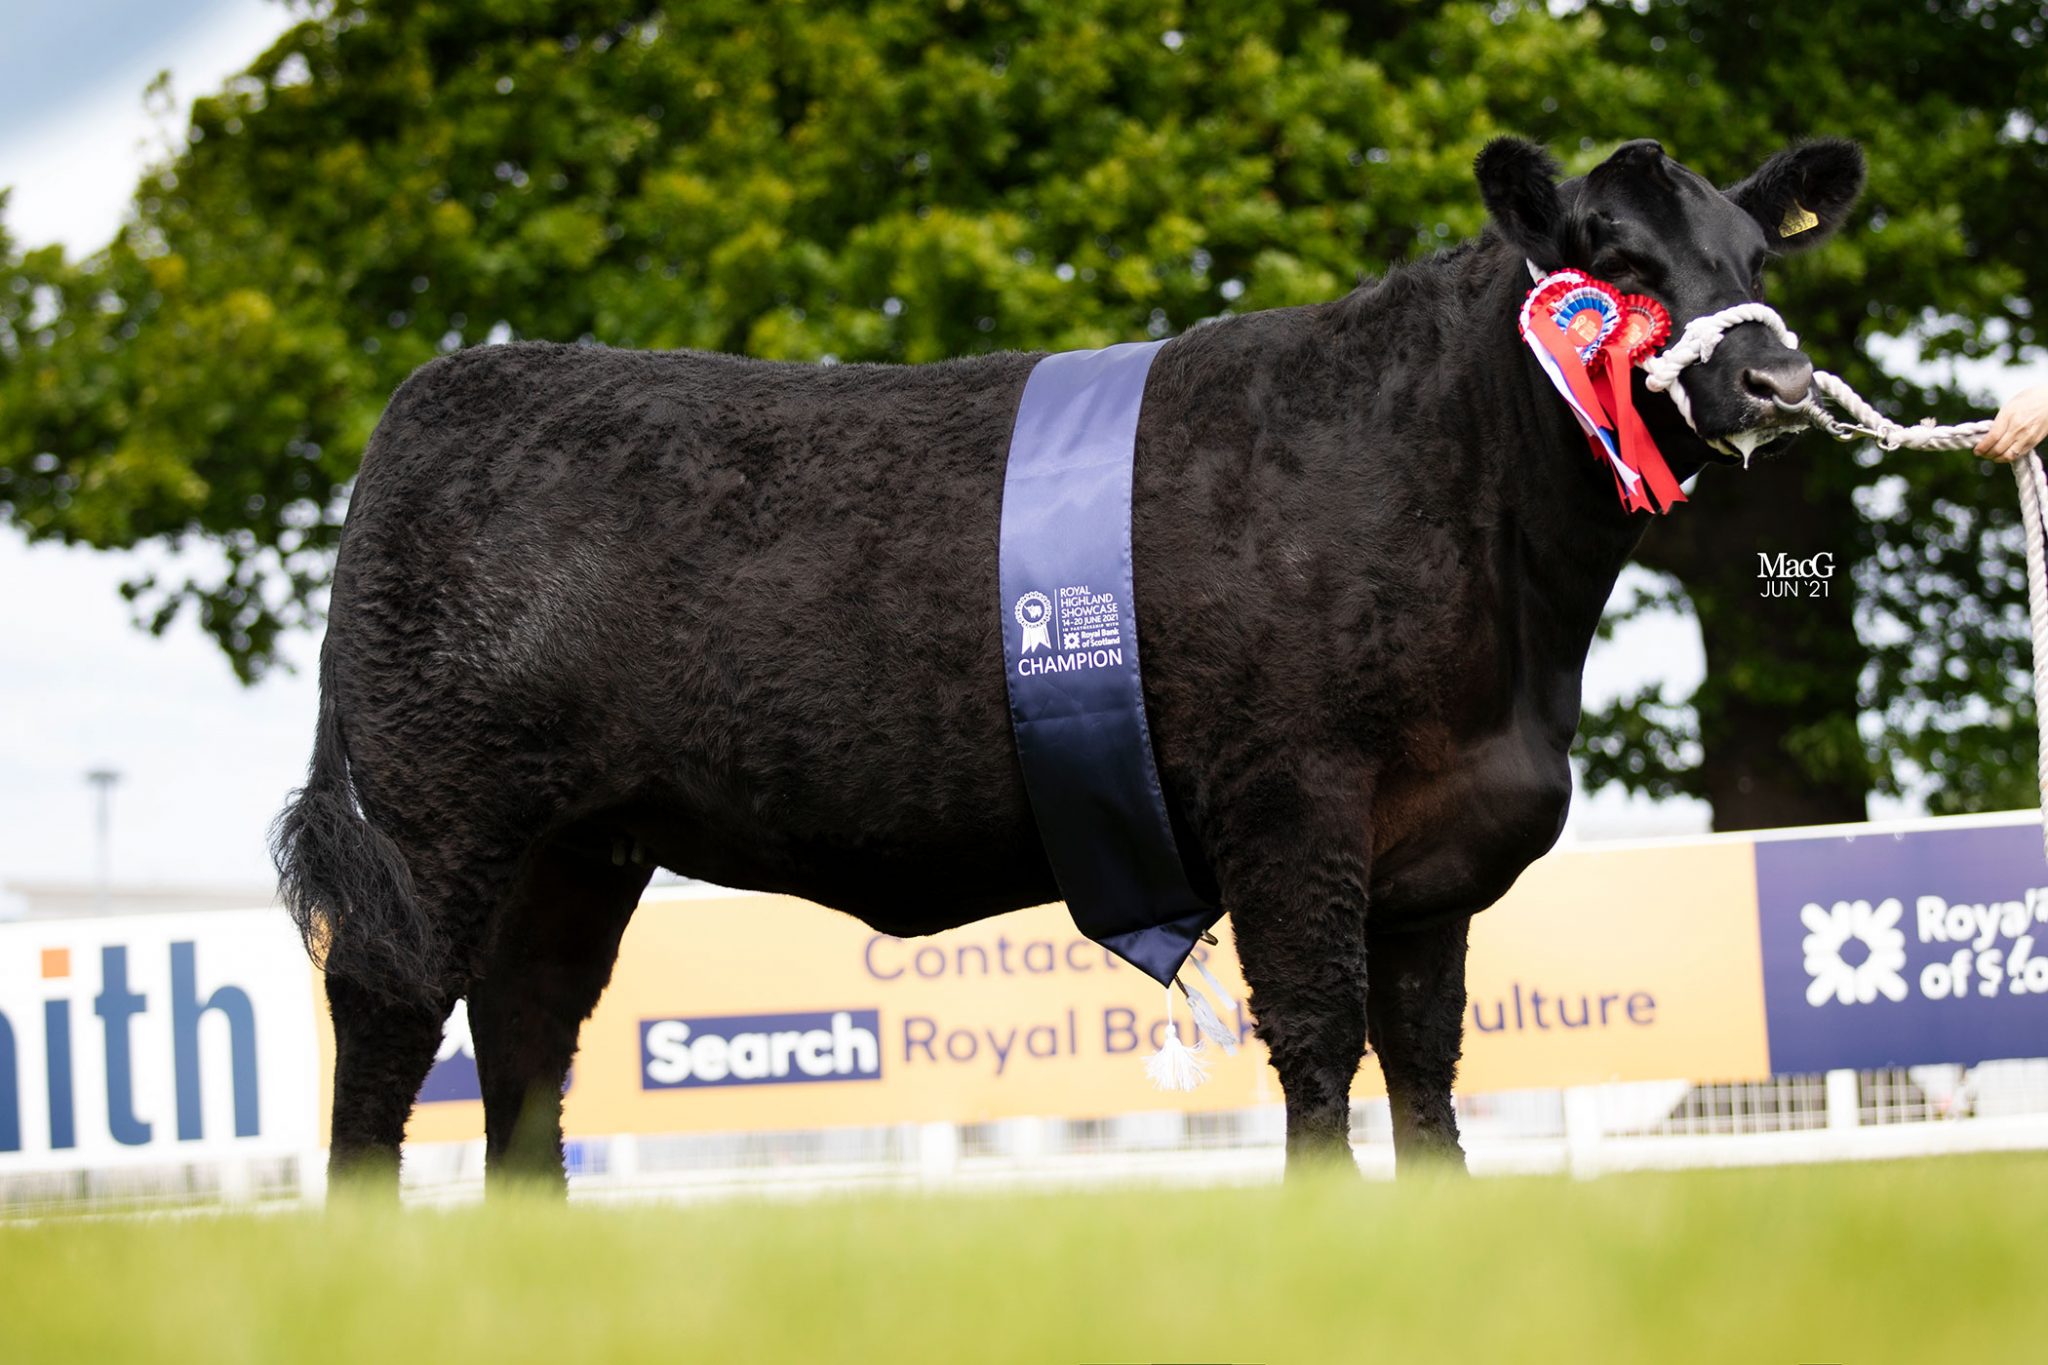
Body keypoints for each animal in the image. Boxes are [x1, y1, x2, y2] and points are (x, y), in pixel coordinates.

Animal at [274, 136, 1865, 1193]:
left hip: (574, 845)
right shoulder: (1289, 799)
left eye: (1755, 258)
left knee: (526, 1038)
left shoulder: (1435, 847)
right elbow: (1316, 1036)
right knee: (388, 1014)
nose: (1778, 380)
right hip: (435, 813)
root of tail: (444, 388)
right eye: (1613, 261)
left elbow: (1424, 1062)